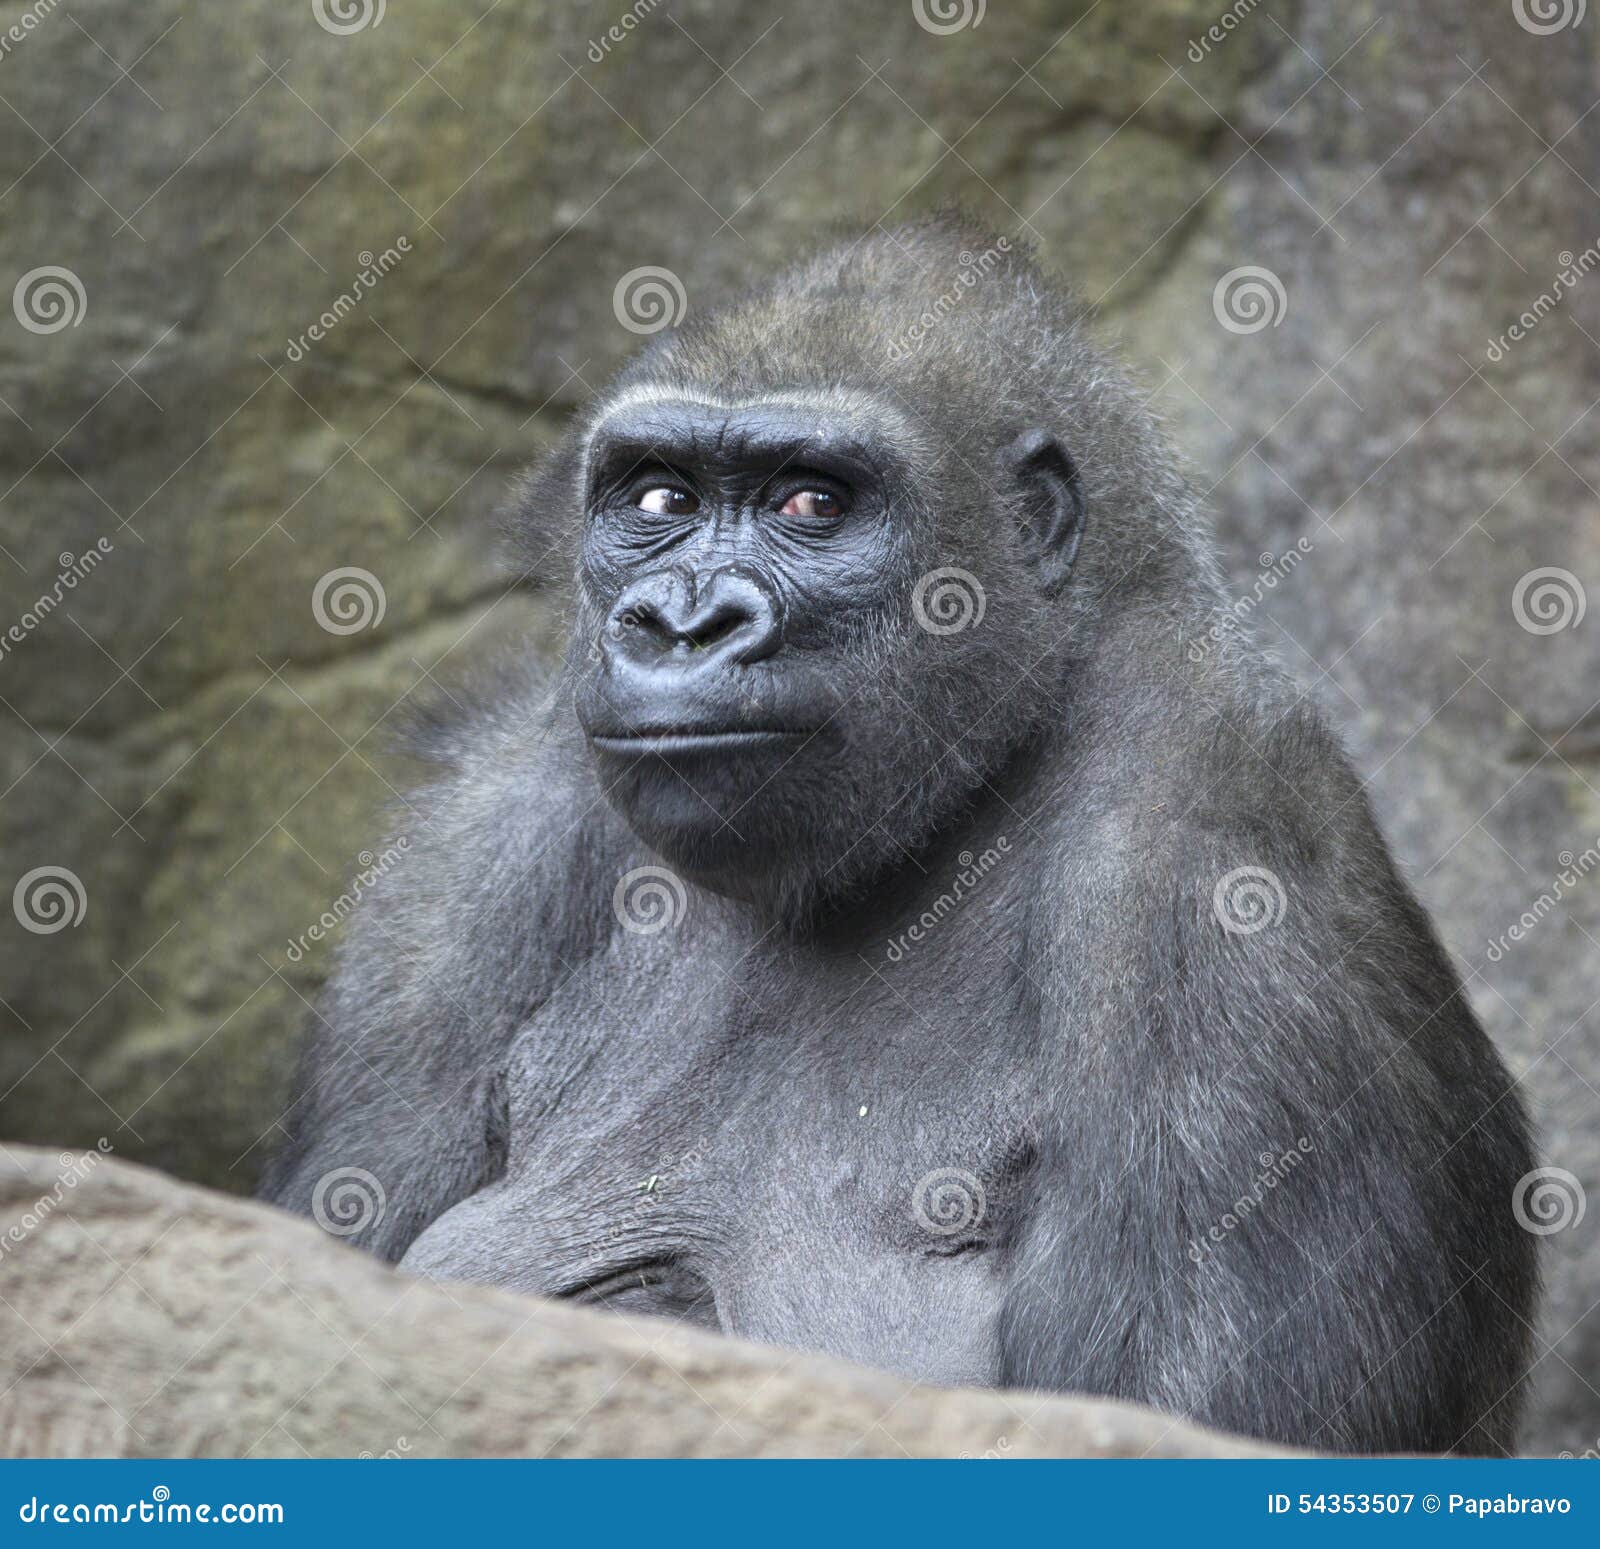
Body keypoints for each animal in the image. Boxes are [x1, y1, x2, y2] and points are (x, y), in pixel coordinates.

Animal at [260, 214, 1538, 1455]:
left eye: (811, 503)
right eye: (659, 502)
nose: (684, 624)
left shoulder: (1214, 824)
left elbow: (1173, 1414)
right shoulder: (474, 848)